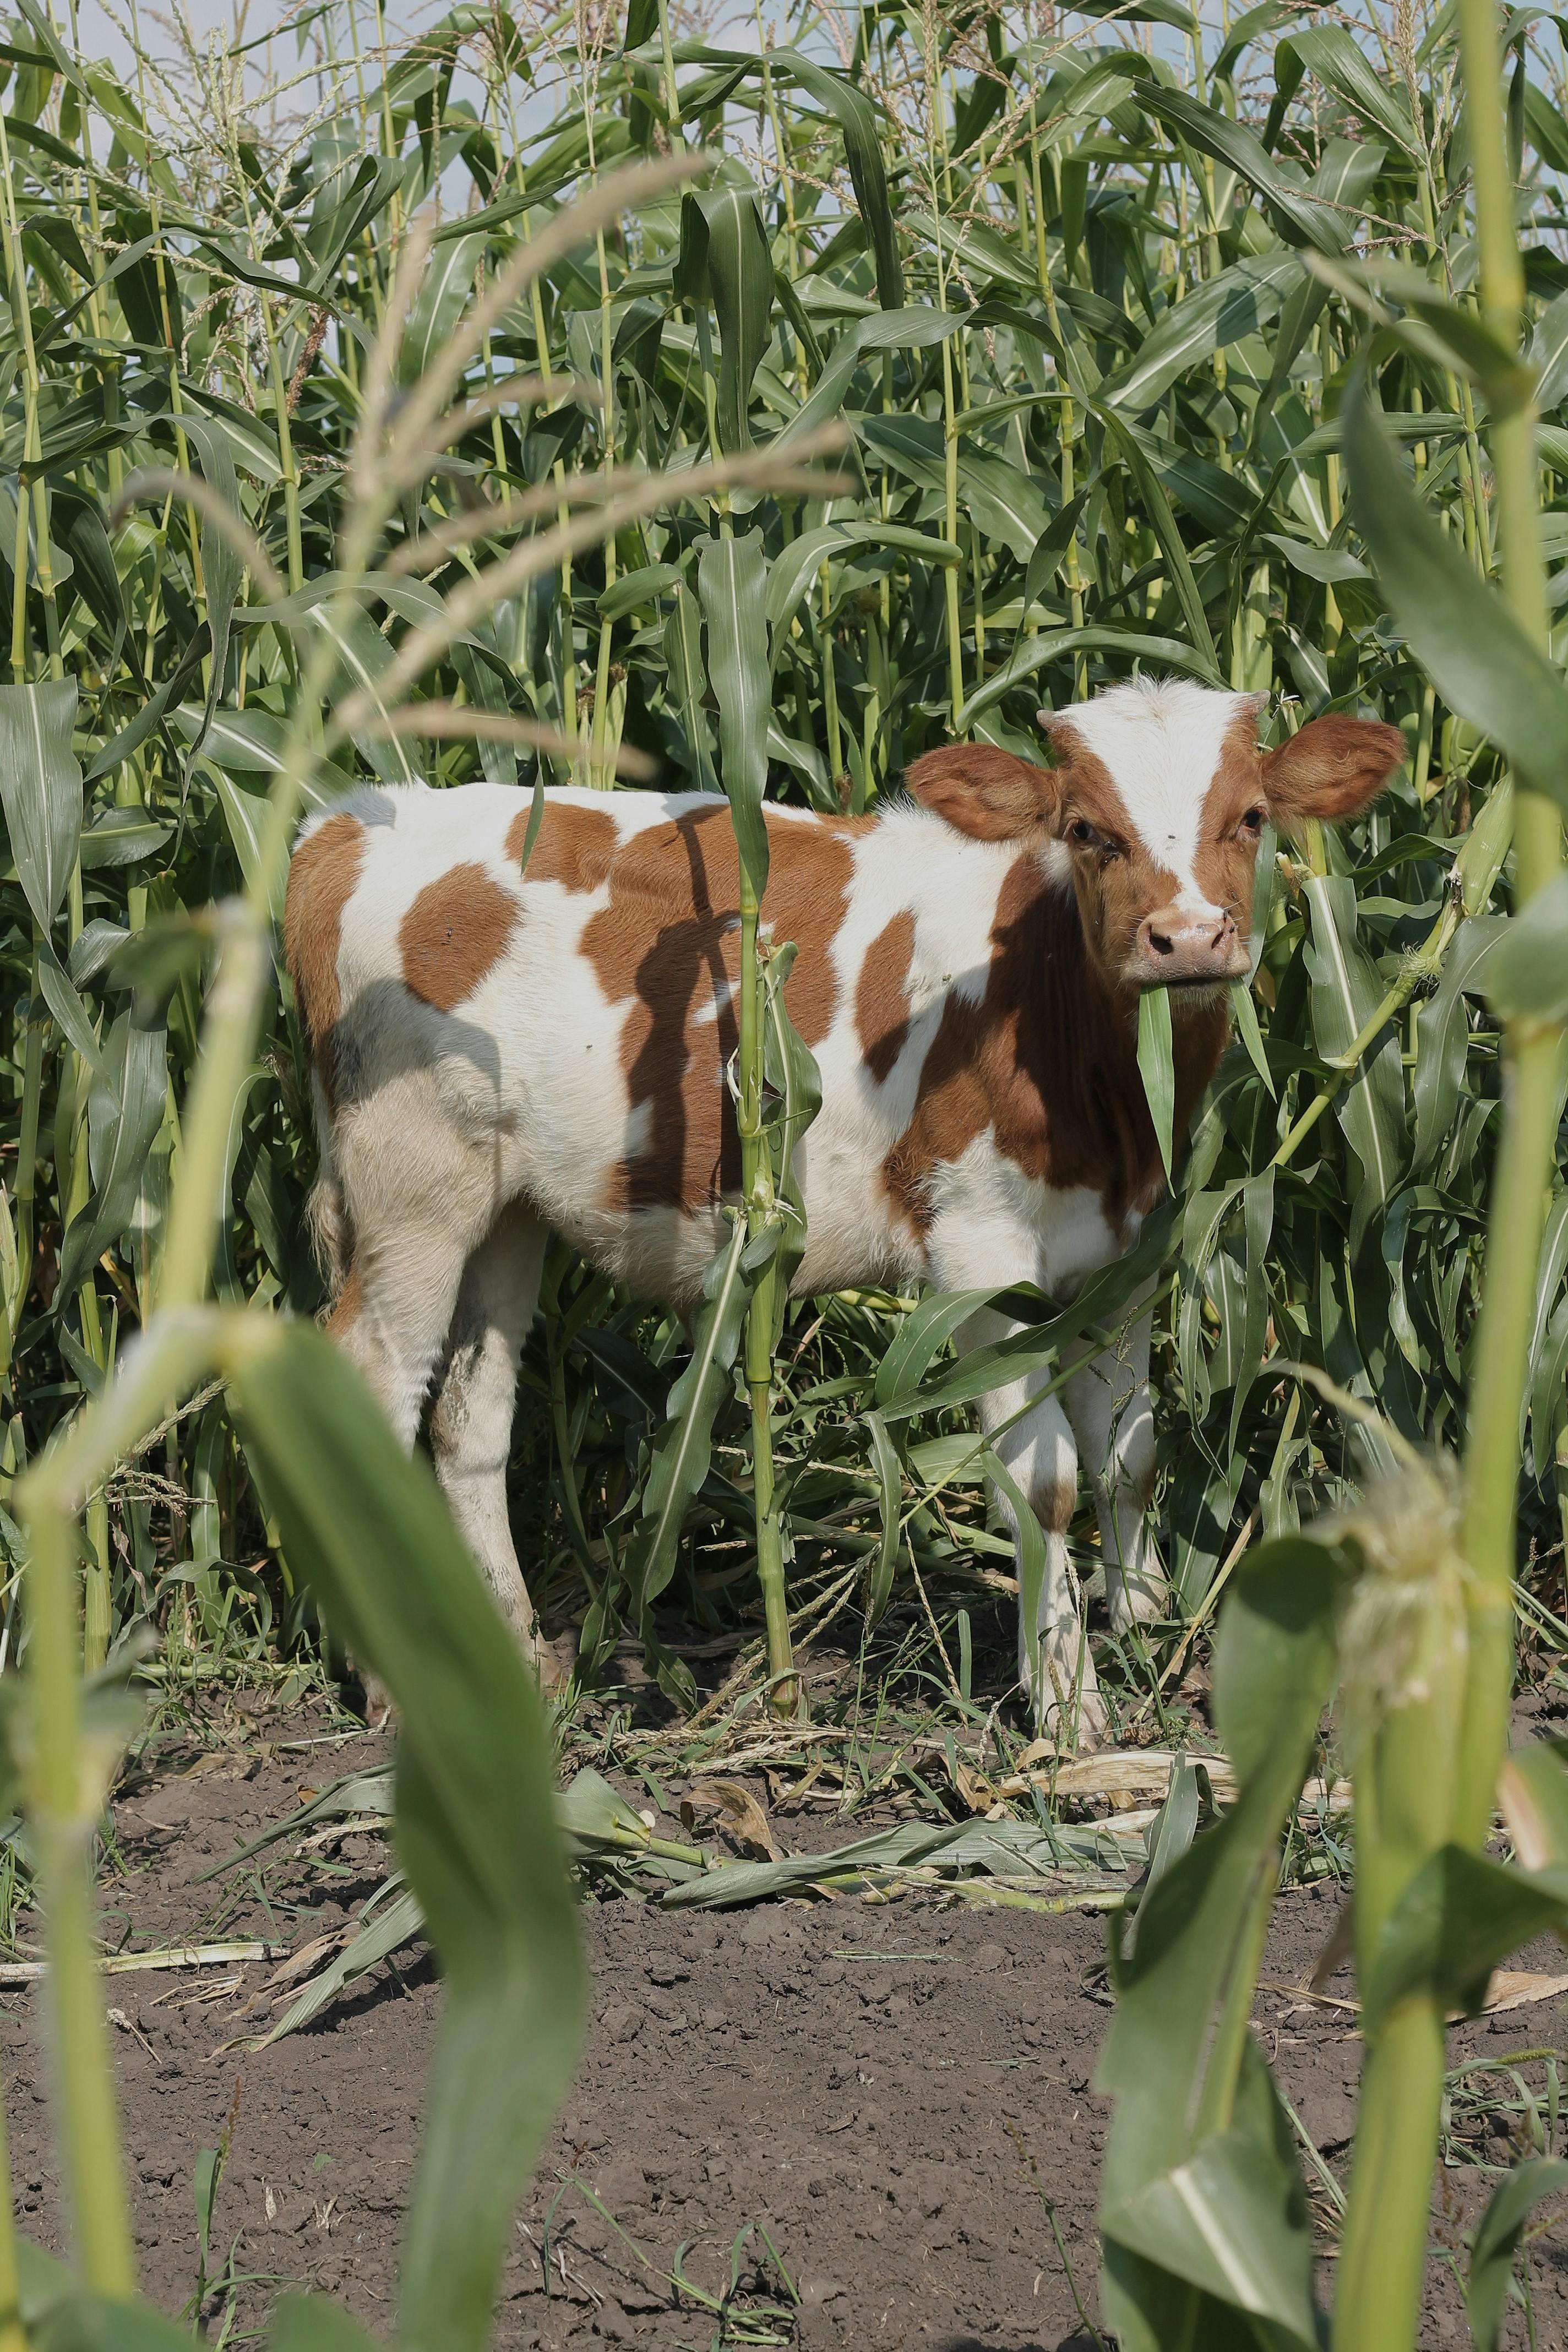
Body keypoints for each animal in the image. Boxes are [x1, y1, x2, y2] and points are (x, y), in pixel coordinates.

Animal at [283, 678, 1403, 1743]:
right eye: (1087, 828)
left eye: (1251, 816)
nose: (1187, 938)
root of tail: (346, 820)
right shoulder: (980, 1251)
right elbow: (1041, 1479)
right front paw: (1067, 1705)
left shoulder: (1127, 1249)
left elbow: (1126, 1457)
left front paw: (1144, 1622)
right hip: (411, 1183)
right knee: (374, 1385)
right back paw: (391, 1683)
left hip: (504, 1201)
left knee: (472, 1408)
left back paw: (517, 1655)